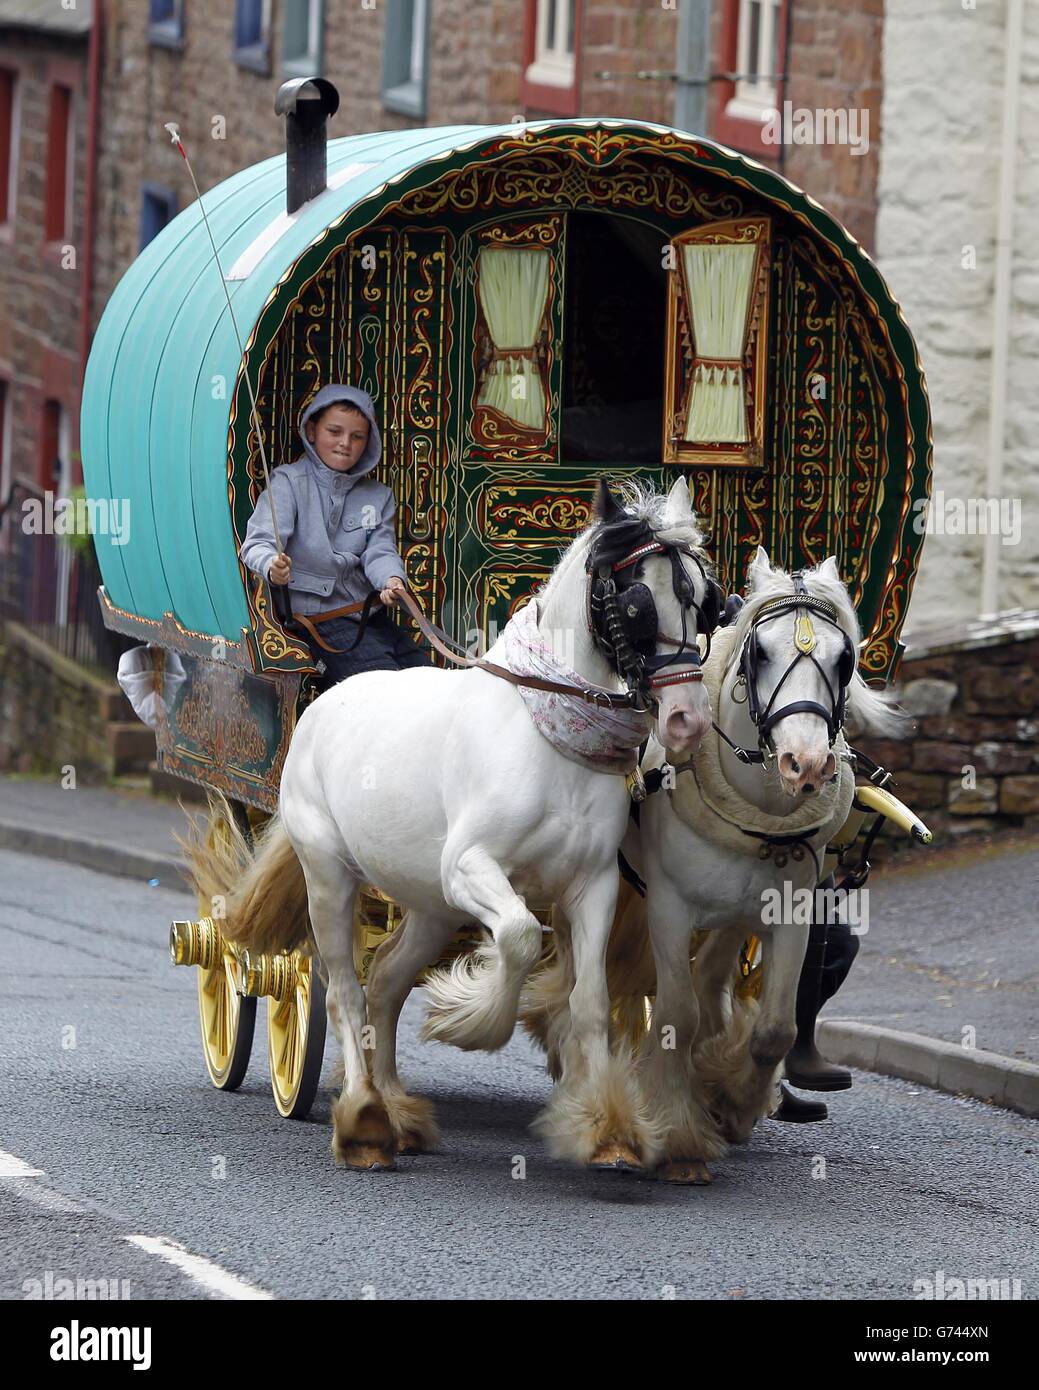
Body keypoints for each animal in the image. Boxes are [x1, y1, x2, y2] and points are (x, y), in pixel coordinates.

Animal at [184, 478, 720, 1172]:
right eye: (637, 602)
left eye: (706, 600)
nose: (686, 719)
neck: (549, 735)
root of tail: (323, 702)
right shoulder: (469, 867)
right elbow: (519, 936)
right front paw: (472, 1017)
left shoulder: (594, 884)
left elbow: (592, 1001)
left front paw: (609, 1128)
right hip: (330, 876)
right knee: (341, 988)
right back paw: (364, 1118)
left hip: (429, 902)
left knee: (385, 979)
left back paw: (396, 1109)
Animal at [523, 547, 906, 1182]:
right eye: (761, 652)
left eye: (845, 657)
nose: (806, 763)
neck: (759, 811)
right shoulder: (669, 907)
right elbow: (676, 1014)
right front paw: (677, 1131)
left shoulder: (790, 911)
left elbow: (774, 1028)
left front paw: (732, 1105)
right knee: (584, 972)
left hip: (732, 911)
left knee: (713, 979)